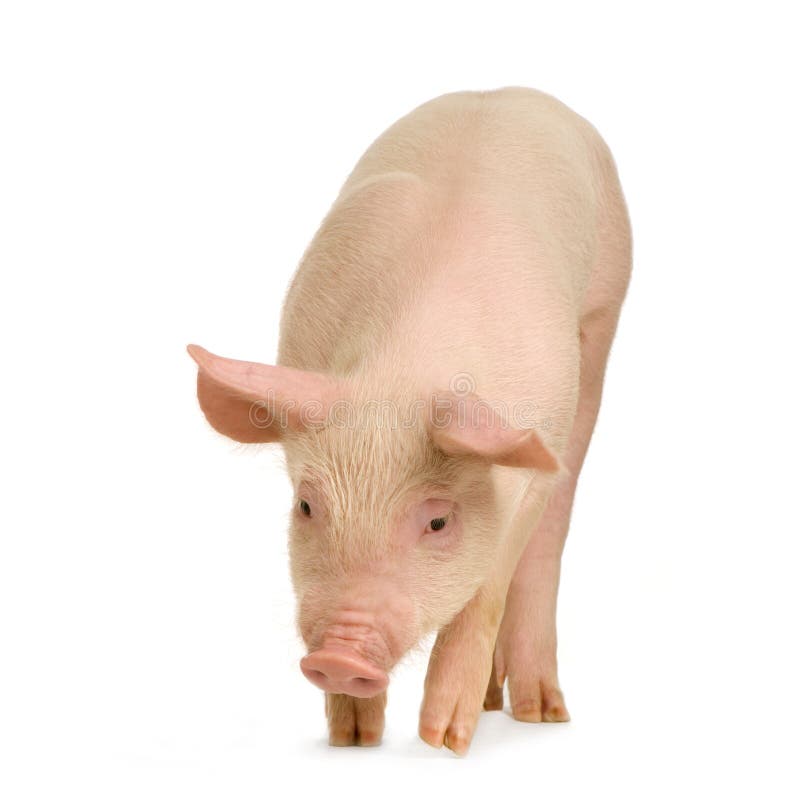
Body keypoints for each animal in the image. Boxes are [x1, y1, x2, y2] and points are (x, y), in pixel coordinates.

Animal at [188, 86, 631, 754]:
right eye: (306, 506)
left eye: (439, 521)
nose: (340, 657)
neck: (404, 371)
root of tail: (512, 90)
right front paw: (354, 741)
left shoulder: (534, 454)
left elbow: (489, 586)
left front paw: (443, 741)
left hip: (604, 309)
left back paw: (540, 715)